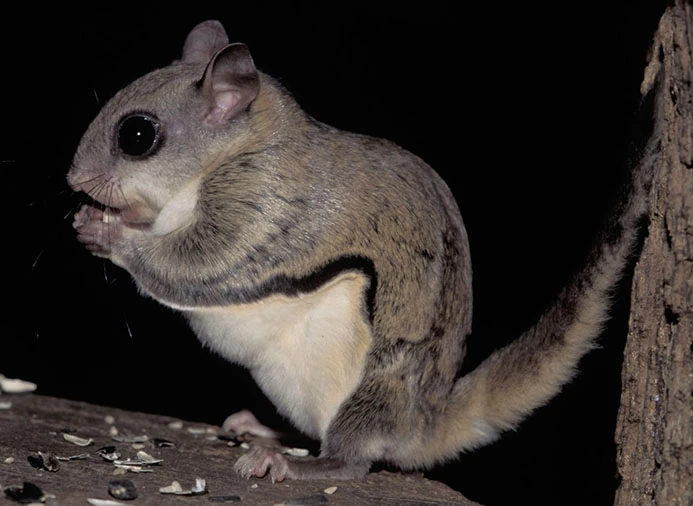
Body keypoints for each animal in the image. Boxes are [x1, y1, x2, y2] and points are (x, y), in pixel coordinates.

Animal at [68, 20, 656, 481]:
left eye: (137, 135)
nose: (73, 179)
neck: (241, 146)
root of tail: (425, 421)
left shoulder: (265, 206)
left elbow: (197, 260)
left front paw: (110, 233)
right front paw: (96, 218)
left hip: (374, 387)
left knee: (351, 461)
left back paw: (292, 463)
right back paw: (263, 431)